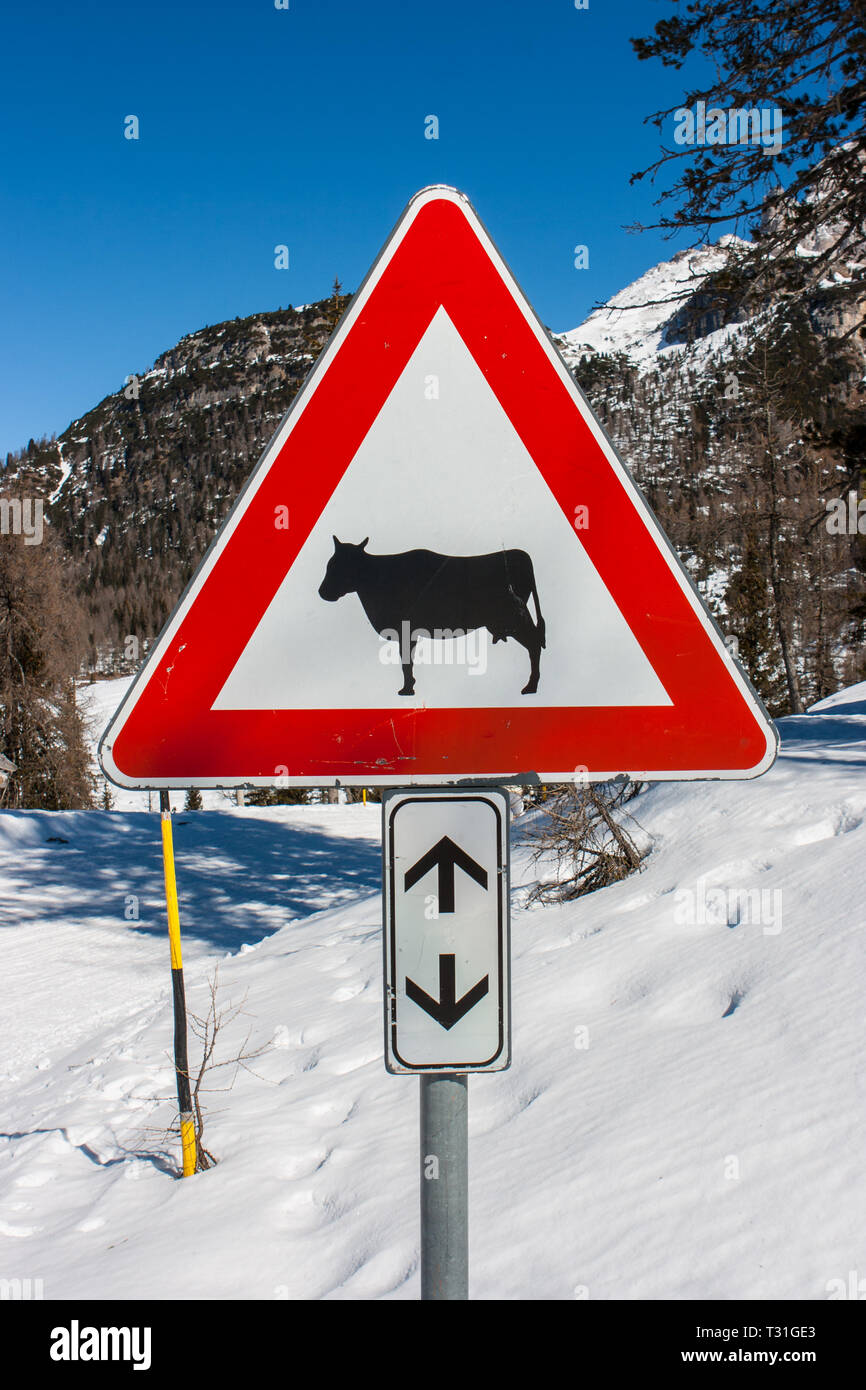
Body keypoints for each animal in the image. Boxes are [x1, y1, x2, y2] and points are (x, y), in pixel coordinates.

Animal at [318, 537, 546, 696]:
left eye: (340, 566)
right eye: (330, 564)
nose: (322, 592)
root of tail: (522, 556)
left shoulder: (404, 629)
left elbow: (405, 660)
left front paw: (407, 690)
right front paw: (410, 686)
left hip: (513, 617)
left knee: (534, 643)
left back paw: (531, 686)